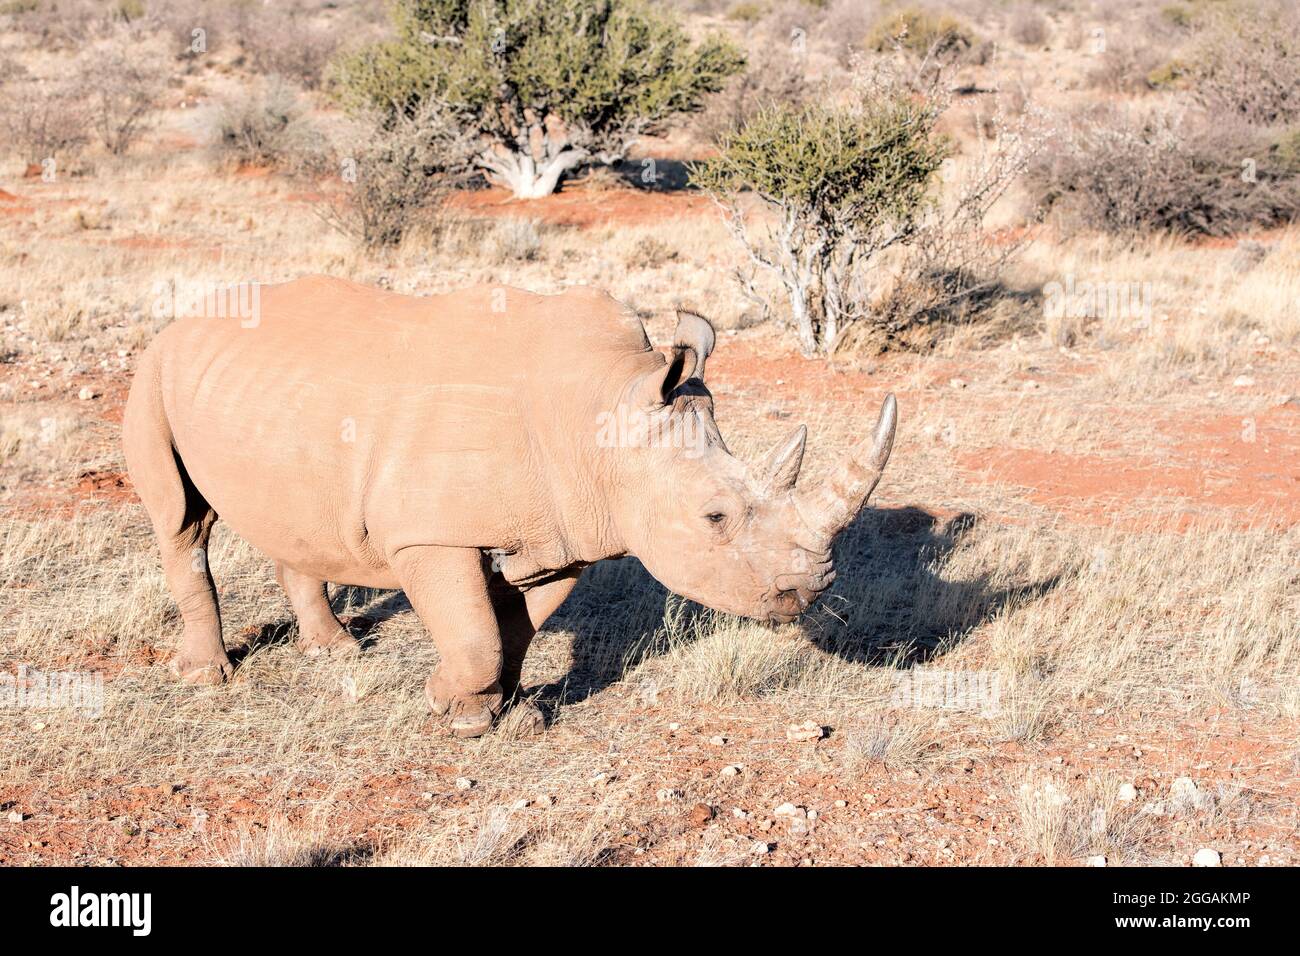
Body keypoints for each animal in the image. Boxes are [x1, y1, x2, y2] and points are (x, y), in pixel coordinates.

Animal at [123, 276, 896, 737]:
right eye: (716, 518)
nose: (812, 591)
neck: (602, 408)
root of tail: (189, 318)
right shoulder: (427, 533)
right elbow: (473, 635)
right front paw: (452, 707)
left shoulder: (564, 533)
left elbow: (518, 628)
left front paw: (500, 714)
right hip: (155, 371)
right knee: (182, 521)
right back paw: (208, 677)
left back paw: (335, 650)